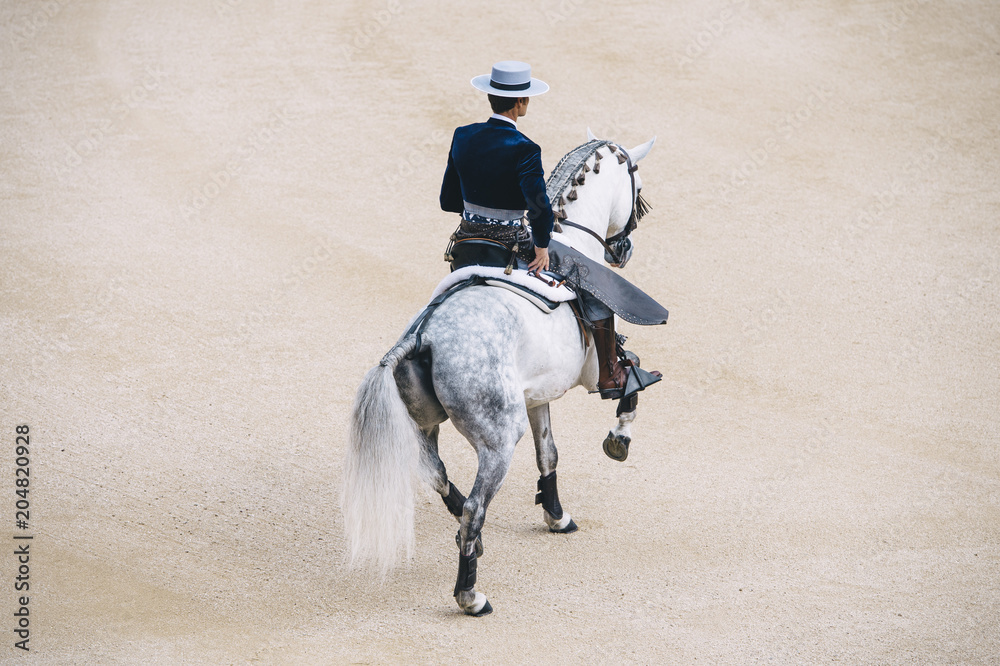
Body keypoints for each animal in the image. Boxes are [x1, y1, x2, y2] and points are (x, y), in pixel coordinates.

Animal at [342, 130, 657, 616]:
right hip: (498, 441)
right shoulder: (597, 372)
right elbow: (631, 387)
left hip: (425, 425)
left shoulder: (538, 395)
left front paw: (556, 515)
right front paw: (618, 441)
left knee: (436, 473)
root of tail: (423, 336)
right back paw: (470, 594)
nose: (622, 251)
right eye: (637, 186)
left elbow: (549, 454)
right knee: (475, 506)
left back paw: (467, 536)